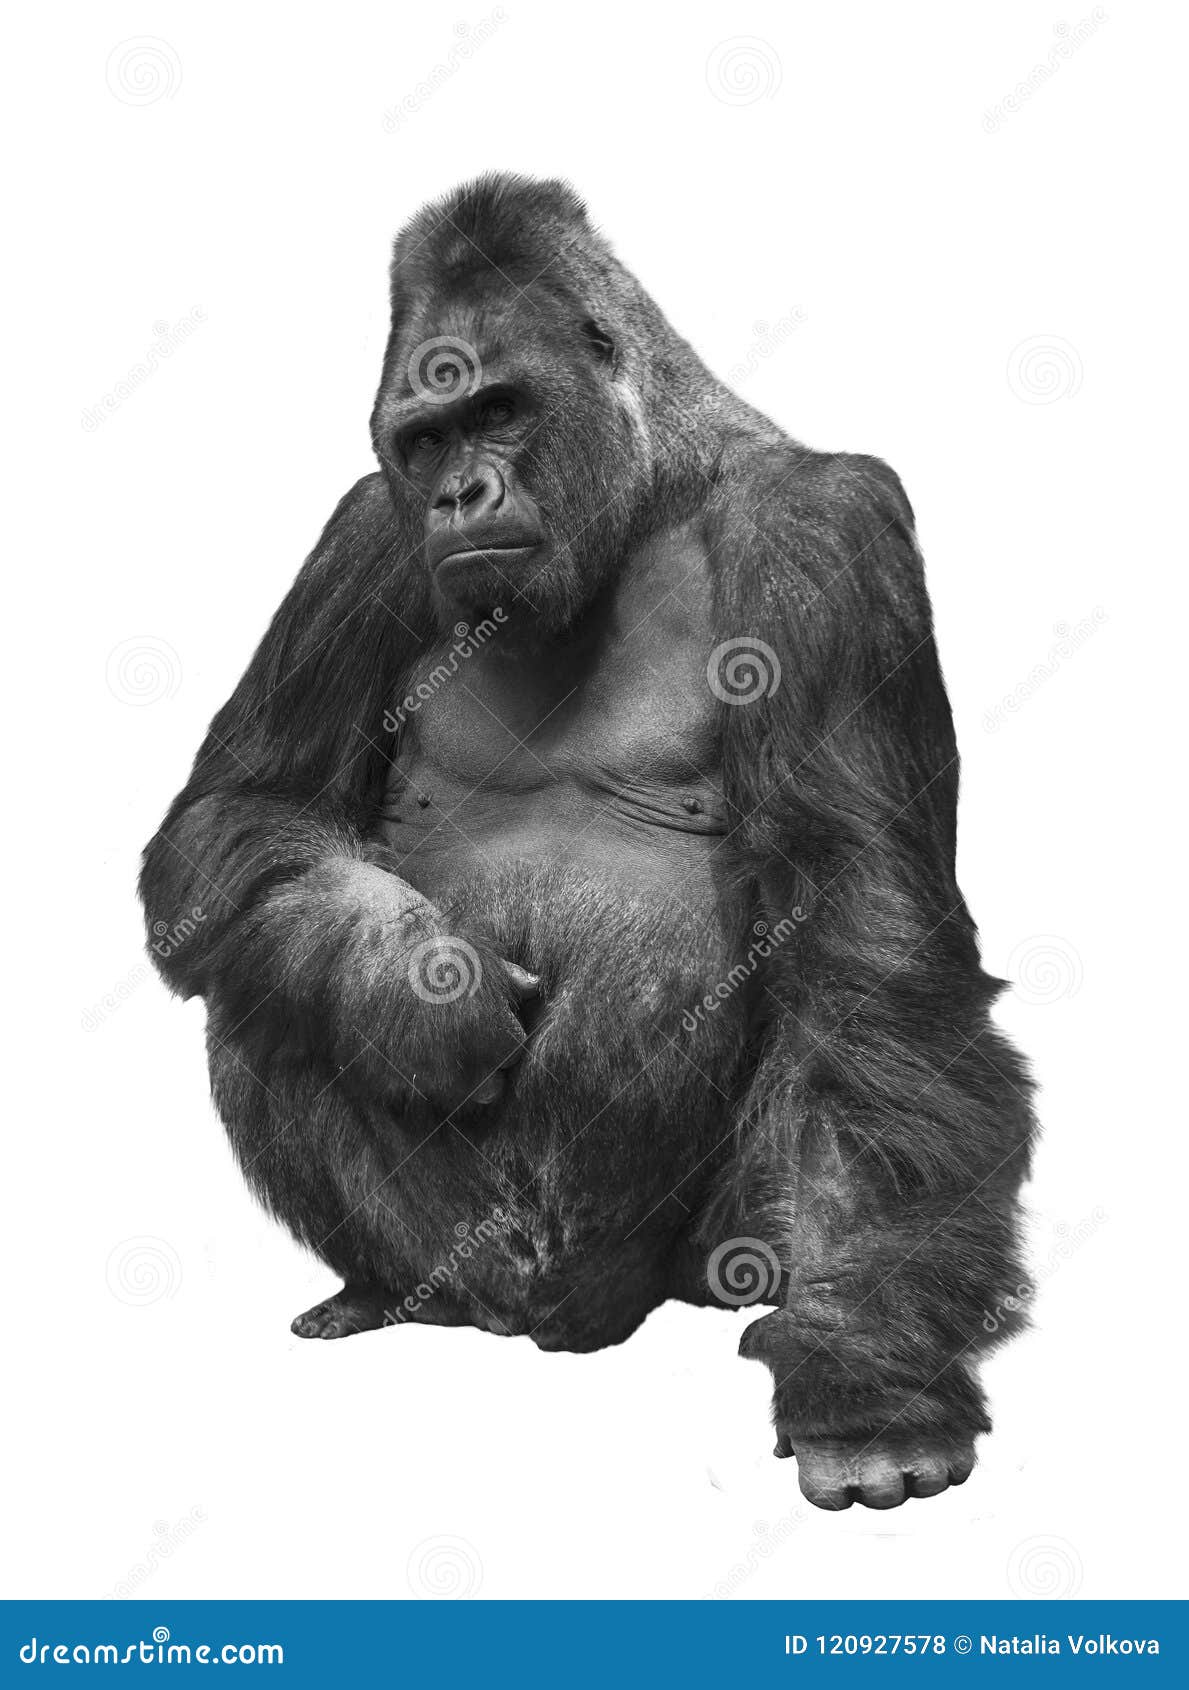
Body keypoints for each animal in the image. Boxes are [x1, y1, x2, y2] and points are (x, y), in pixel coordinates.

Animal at [140, 173, 1035, 1511]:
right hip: (464, 1255)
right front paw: (410, 981)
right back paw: (379, 1288)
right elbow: (238, 811)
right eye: (425, 441)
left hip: (690, 1257)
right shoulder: (363, 534)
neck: (655, 481)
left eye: (498, 413)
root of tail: (553, 1316)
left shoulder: (825, 537)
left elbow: (861, 931)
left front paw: (868, 1383)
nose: (459, 496)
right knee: (263, 962)